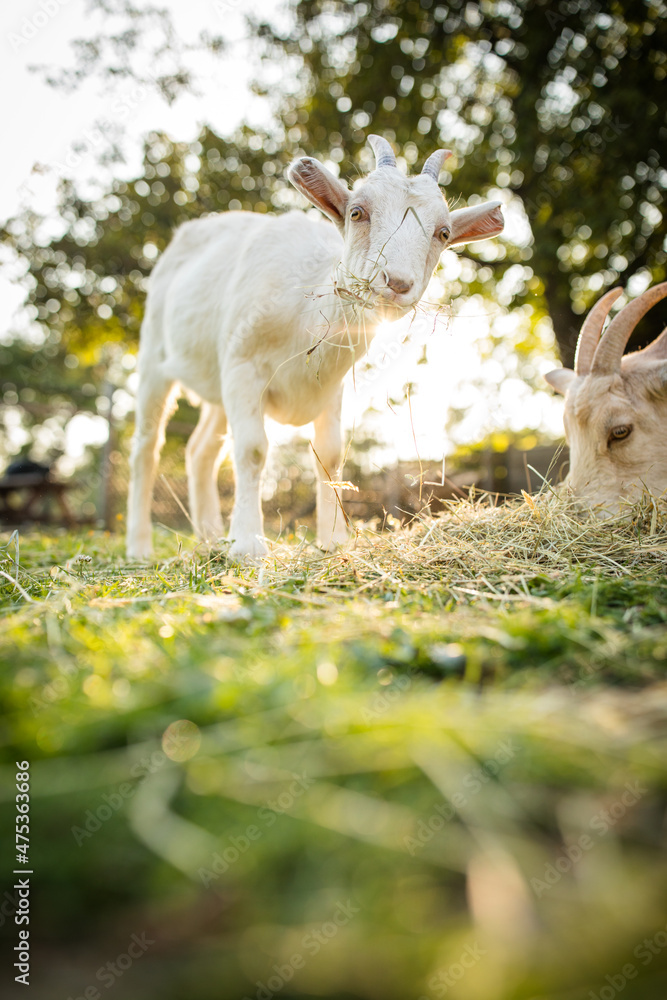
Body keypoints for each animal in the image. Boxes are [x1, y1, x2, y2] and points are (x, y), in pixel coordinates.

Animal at [126, 134, 504, 558]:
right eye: (357, 212)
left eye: (443, 233)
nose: (397, 282)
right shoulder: (244, 366)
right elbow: (252, 449)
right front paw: (249, 546)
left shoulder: (329, 385)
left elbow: (330, 454)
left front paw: (334, 540)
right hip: (154, 354)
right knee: (147, 446)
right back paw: (140, 546)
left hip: (216, 380)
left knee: (200, 450)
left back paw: (210, 537)